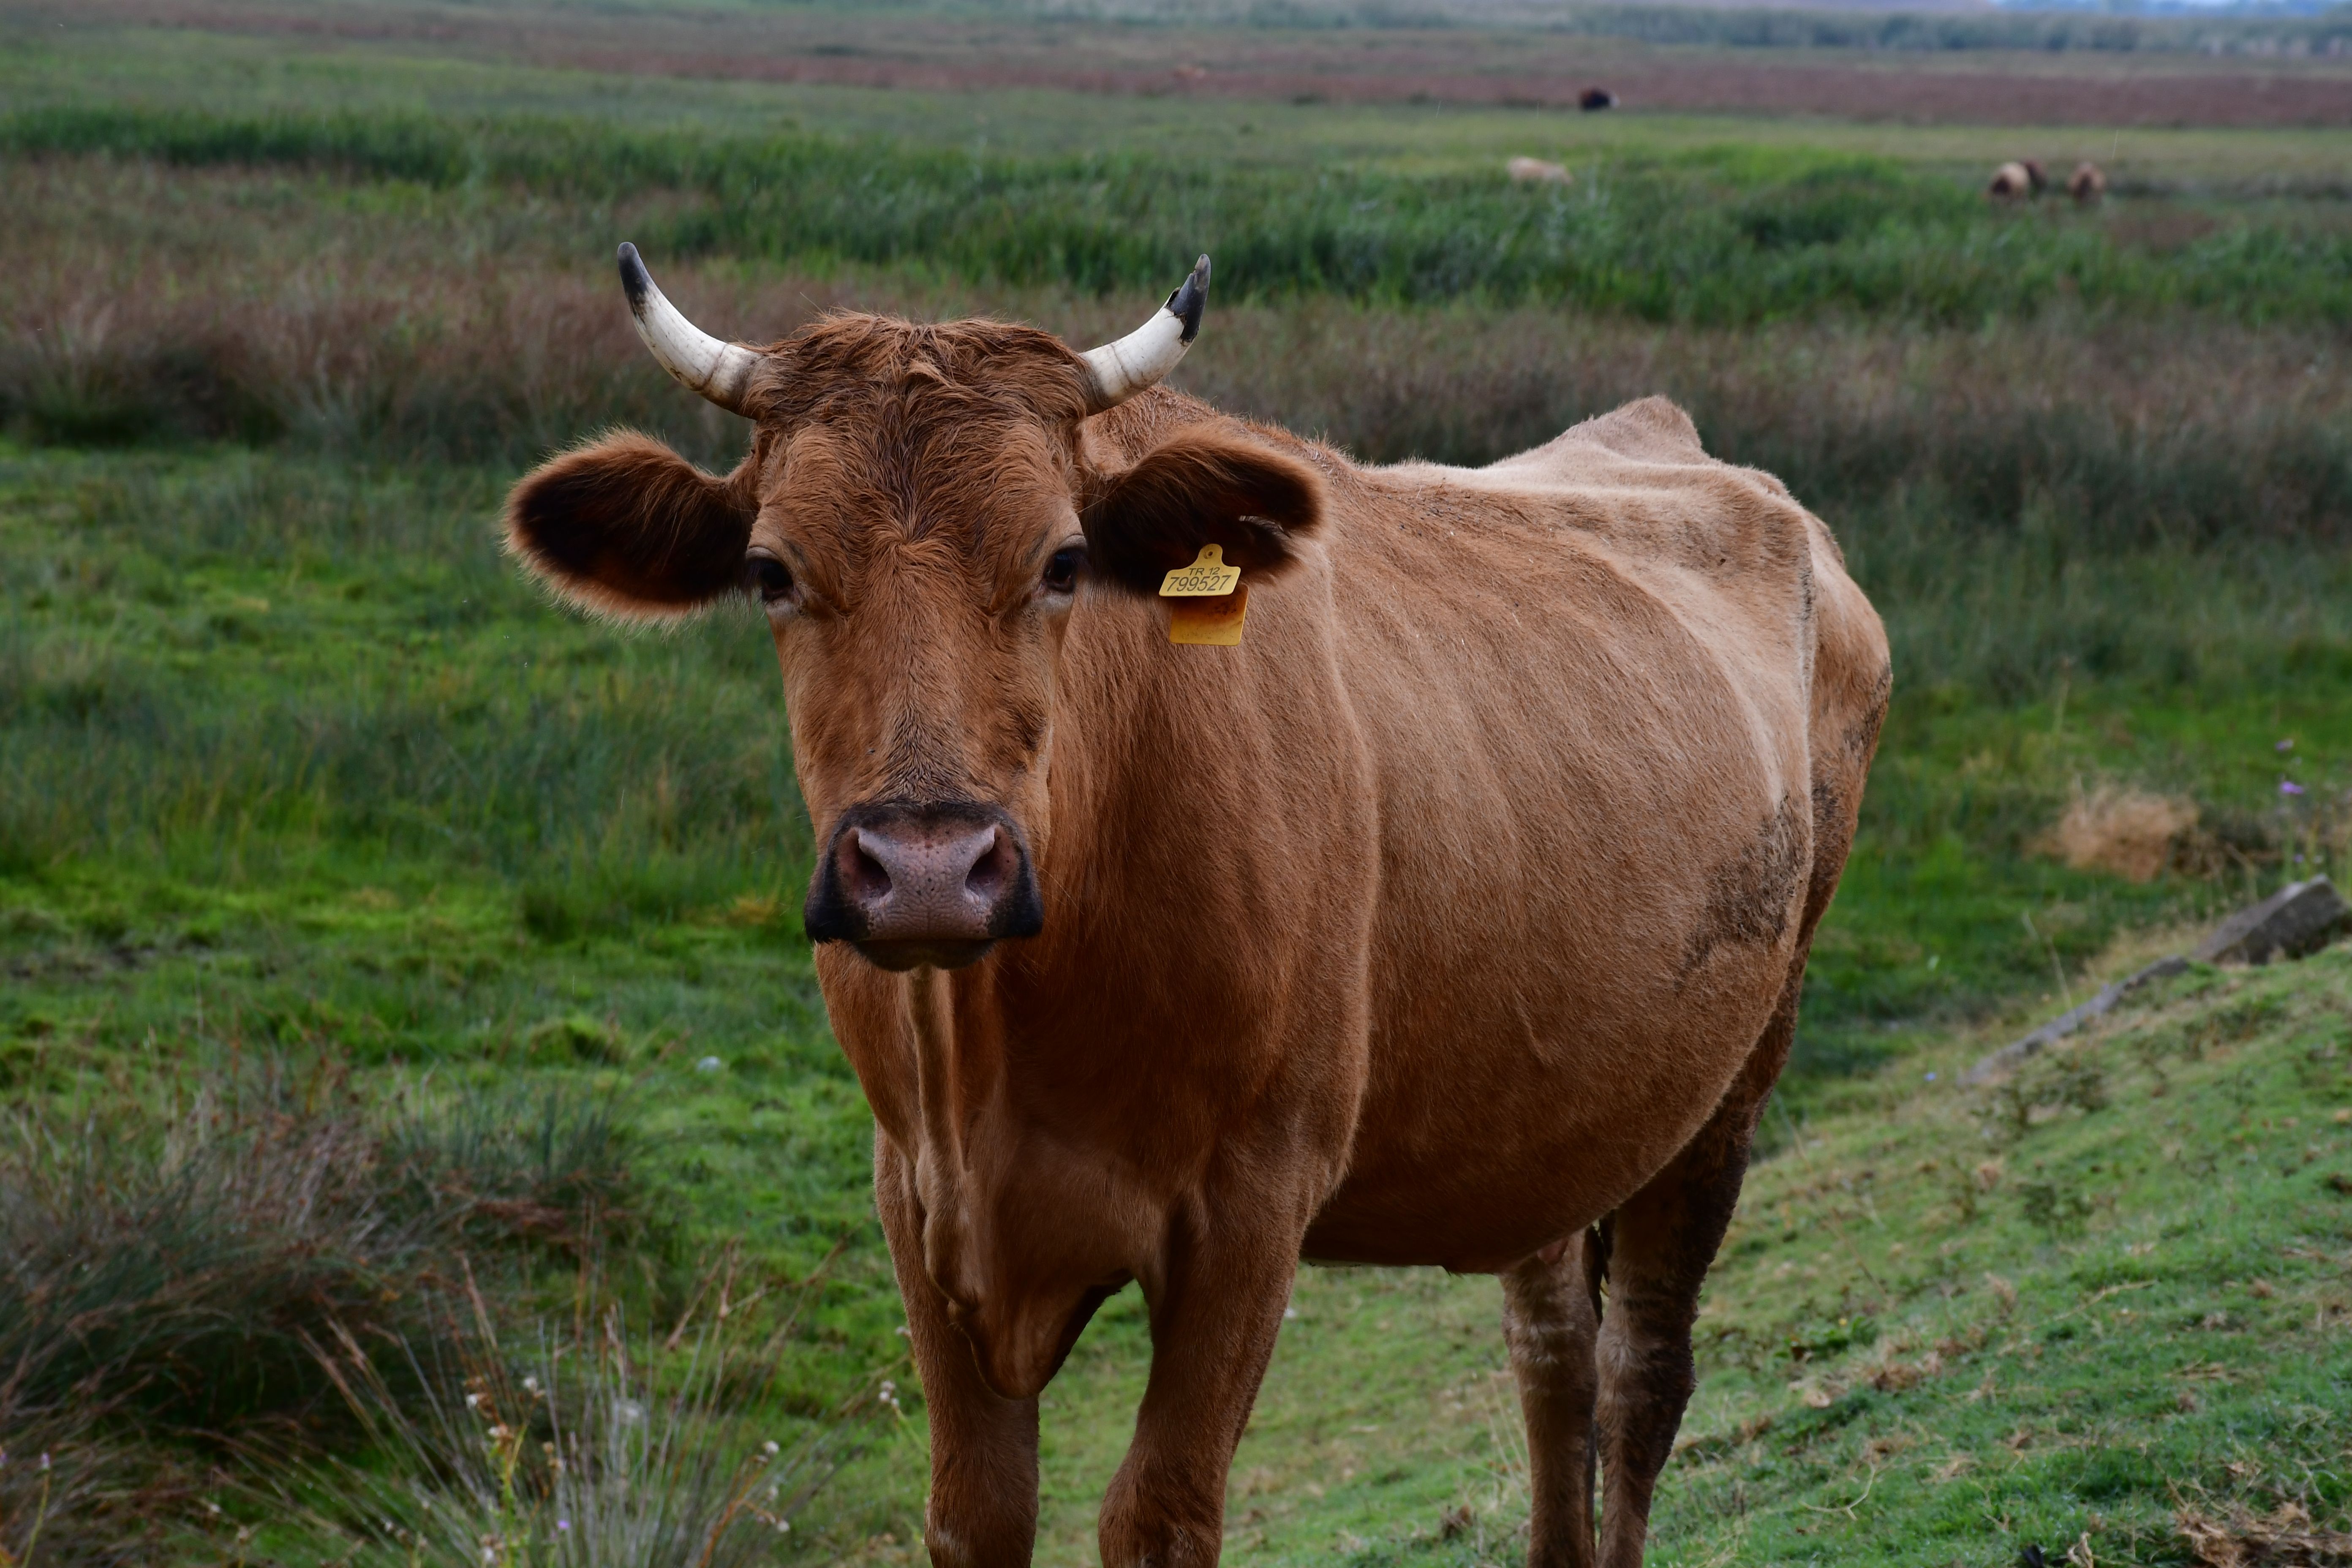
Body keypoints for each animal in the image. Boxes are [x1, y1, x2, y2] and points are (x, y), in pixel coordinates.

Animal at [503, 245, 1891, 1568]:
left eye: (1063, 561)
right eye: (770, 572)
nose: (928, 866)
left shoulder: (1250, 1208)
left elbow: (1157, 1515)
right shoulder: (914, 1195)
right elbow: (975, 1512)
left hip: (1731, 1086)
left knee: (1639, 1375)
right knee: (1550, 1351)